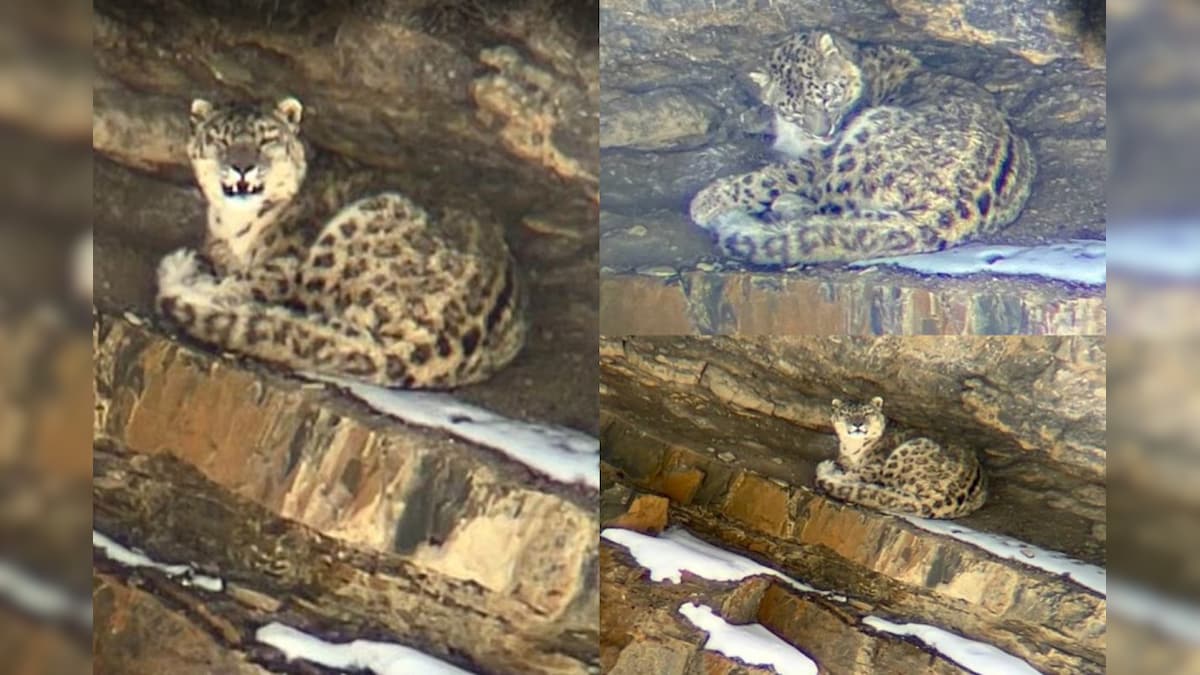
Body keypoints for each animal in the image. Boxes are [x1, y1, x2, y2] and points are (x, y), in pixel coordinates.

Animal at [155, 96, 527, 389]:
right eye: (220, 139)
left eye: (267, 139)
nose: (242, 166)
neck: (231, 223)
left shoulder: (286, 262)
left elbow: (247, 280)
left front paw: (203, 283)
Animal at [689, 30, 1036, 266]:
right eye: (794, 109)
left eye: (828, 94)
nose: (824, 132)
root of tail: (959, 205)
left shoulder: (817, 161)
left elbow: (766, 178)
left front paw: (705, 201)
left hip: (863, 142)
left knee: (833, 207)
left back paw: (787, 203)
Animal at [814, 397, 987, 519]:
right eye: (845, 414)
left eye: (867, 412)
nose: (858, 424)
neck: (851, 447)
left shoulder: (876, 465)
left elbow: (855, 474)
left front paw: (835, 473)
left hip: (904, 454)